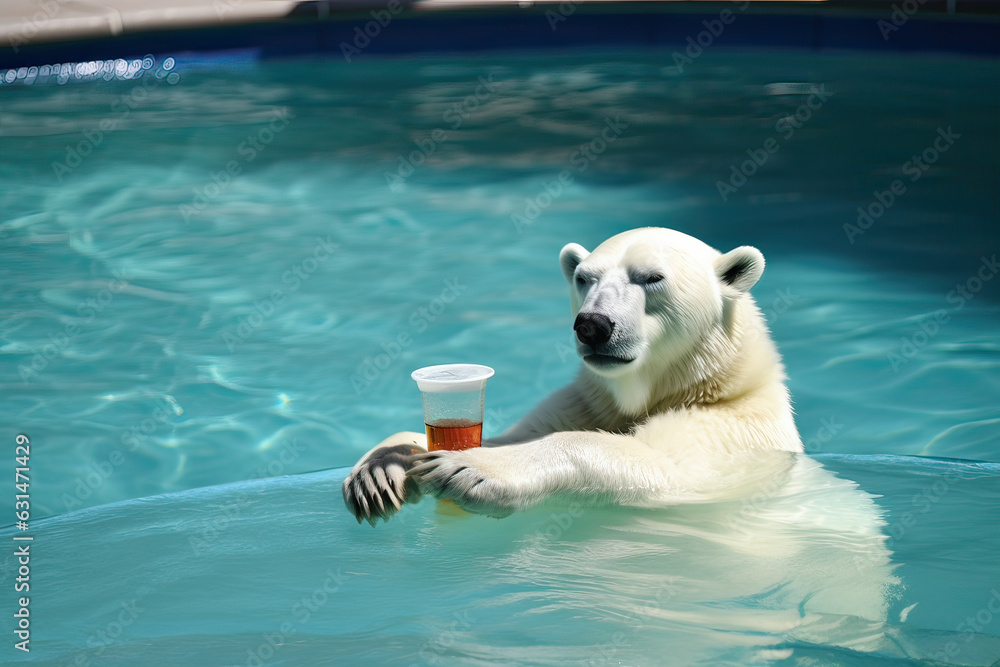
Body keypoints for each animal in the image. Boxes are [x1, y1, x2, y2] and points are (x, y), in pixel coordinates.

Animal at [342, 227, 803, 525]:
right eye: (584, 278)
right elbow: (511, 434)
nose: (592, 325)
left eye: (652, 277)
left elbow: (662, 464)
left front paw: (470, 468)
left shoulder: (733, 437)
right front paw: (381, 469)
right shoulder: (587, 402)